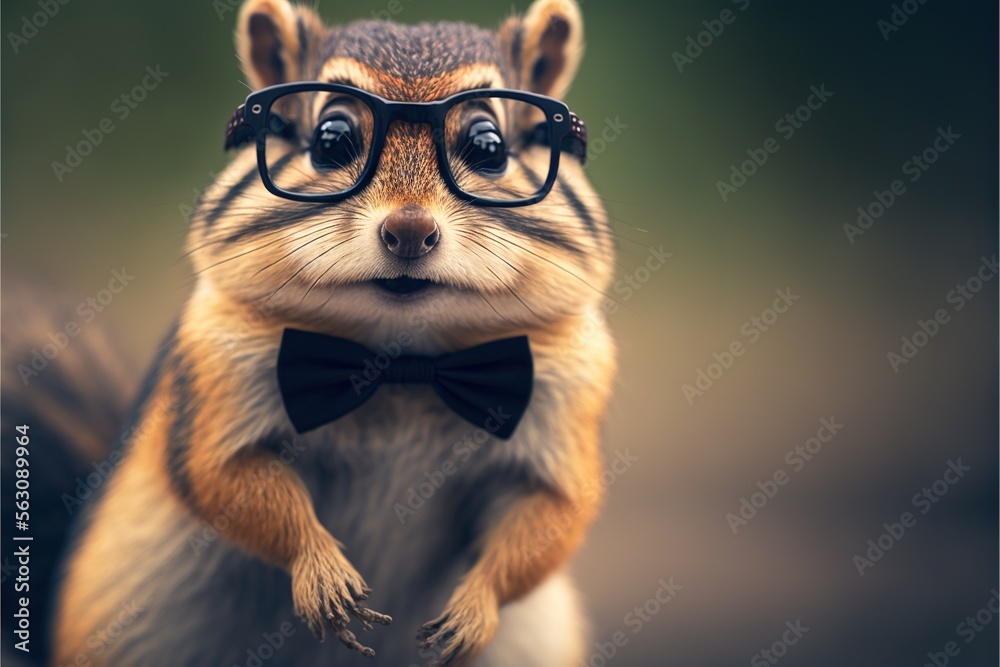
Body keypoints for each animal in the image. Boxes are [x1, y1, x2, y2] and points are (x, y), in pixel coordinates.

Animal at [43, 0, 617, 665]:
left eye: (489, 145)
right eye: (331, 138)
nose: (410, 230)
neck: (401, 371)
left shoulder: (563, 404)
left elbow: (550, 519)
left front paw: (472, 613)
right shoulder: (218, 378)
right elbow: (234, 482)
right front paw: (324, 579)